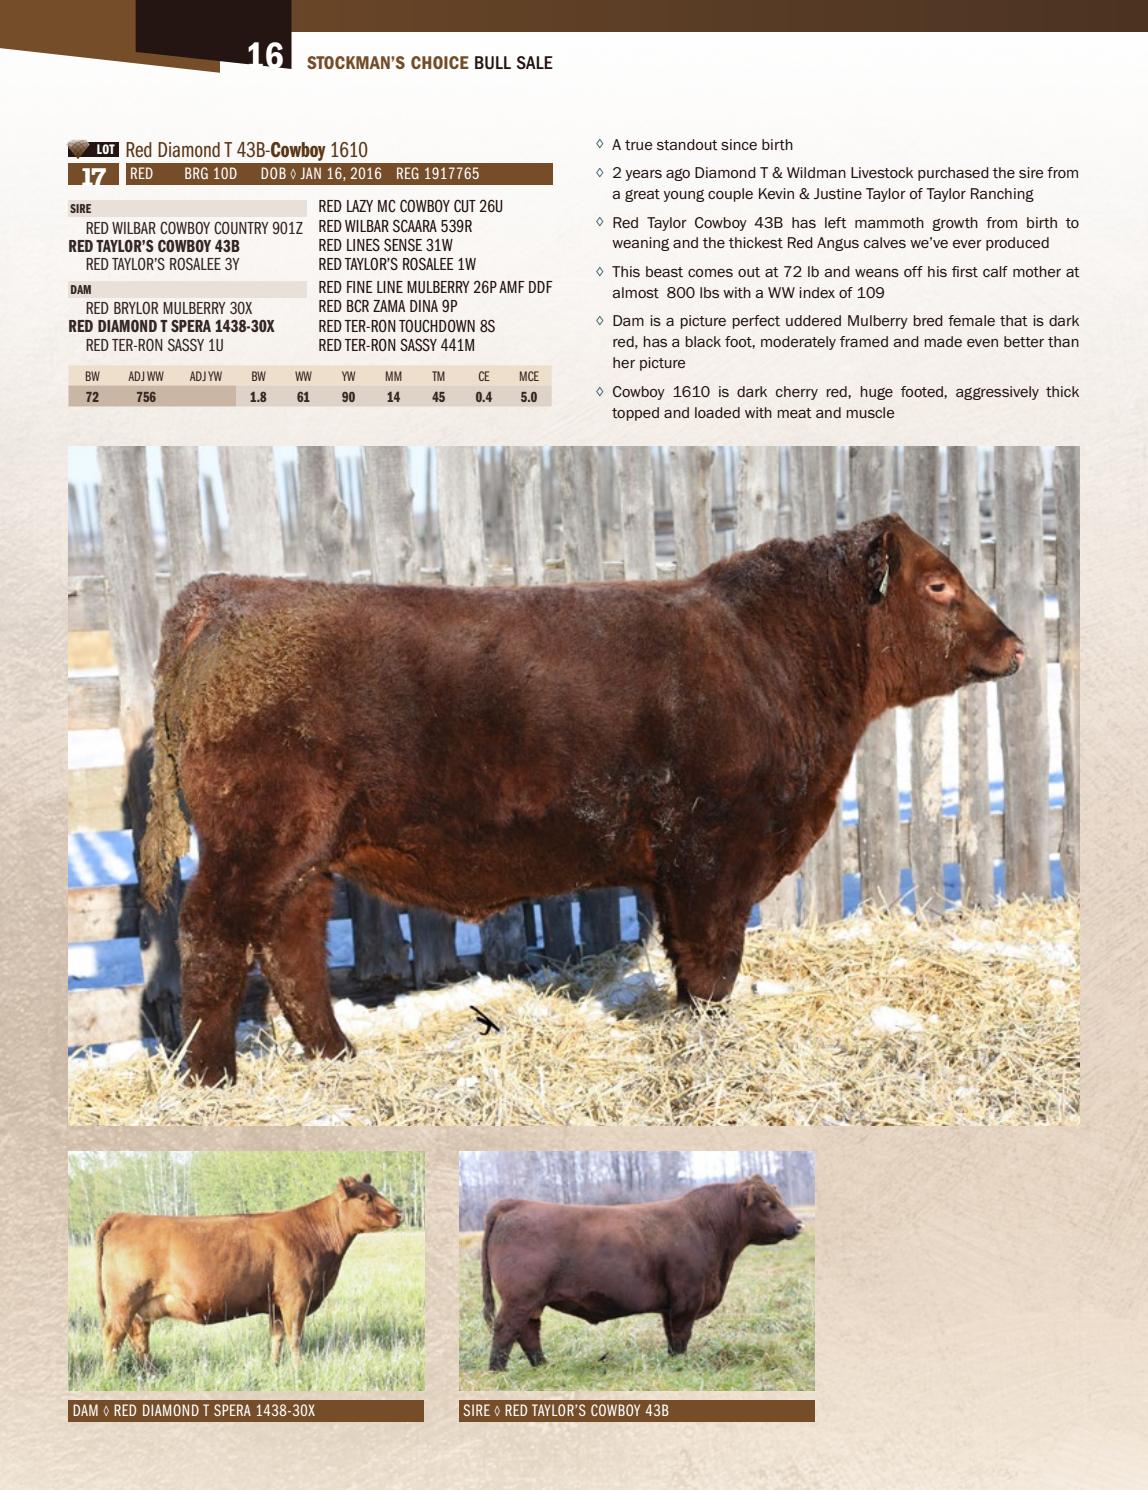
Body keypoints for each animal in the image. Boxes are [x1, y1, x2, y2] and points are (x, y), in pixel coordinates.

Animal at [95, 1174, 401, 1370]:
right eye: (365, 1197)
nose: (399, 1213)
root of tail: (124, 1216)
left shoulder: (276, 1304)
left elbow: (277, 1338)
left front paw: (274, 1368)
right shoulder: (295, 1297)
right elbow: (295, 1338)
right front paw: (298, 1370)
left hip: (140, 1307)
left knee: (138, 1338)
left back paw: (150, 1374)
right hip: (124, 1301)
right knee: (113, 1338)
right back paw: (111, 1376)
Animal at [139, 512, 1024, 1085]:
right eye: (938, 584)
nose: (1014, 644)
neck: (775, 658)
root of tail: (228, 595)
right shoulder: (709, 855)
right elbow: (712, 965)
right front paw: (709, 1045)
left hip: (304, 856)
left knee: (290, 948)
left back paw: (336, 1056)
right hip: (254, 841)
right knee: (213, 938)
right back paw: (210, 1078)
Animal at [479, 1176, 802, 1368]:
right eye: (767, 1203)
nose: (798, 1224)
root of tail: (513, 1204)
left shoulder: (671, 1304)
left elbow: (671, 1336)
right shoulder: (687, 1297)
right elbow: (681, 1335)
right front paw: (680, 1365)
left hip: (532, 1300)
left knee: (528, 1331)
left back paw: (542, 1365)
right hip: (521, 1297)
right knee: (506, 1328)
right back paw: (498, 1371)